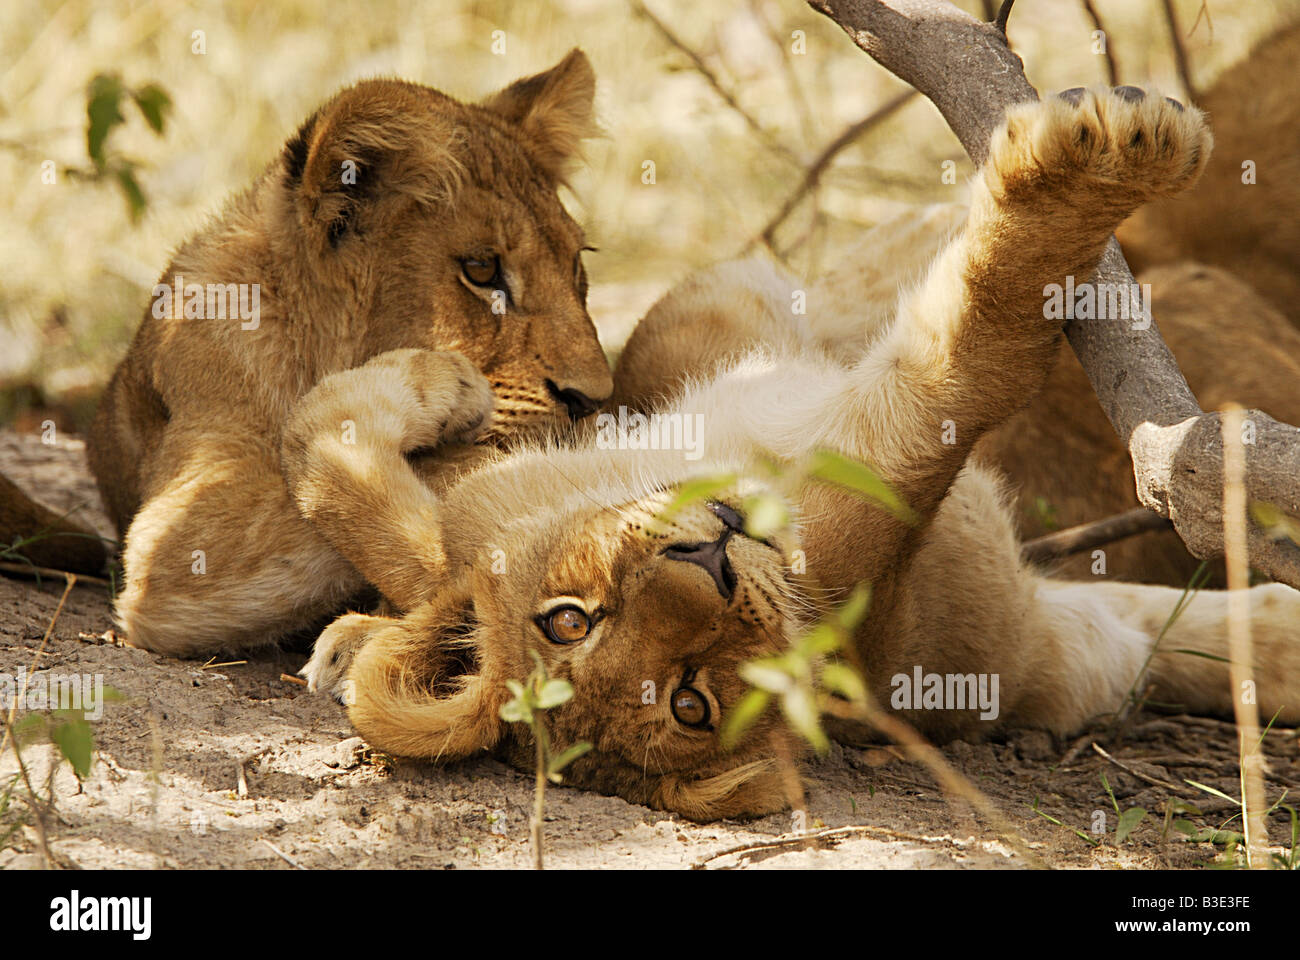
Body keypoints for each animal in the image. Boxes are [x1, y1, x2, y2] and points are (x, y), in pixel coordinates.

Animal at [285, 87, 1300, 820]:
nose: (707, 561)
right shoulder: (876, 446)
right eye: (693, 703)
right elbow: (973, 350)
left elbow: (343, 473)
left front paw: (418, 395)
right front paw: (1090, 165)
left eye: (567, 620)